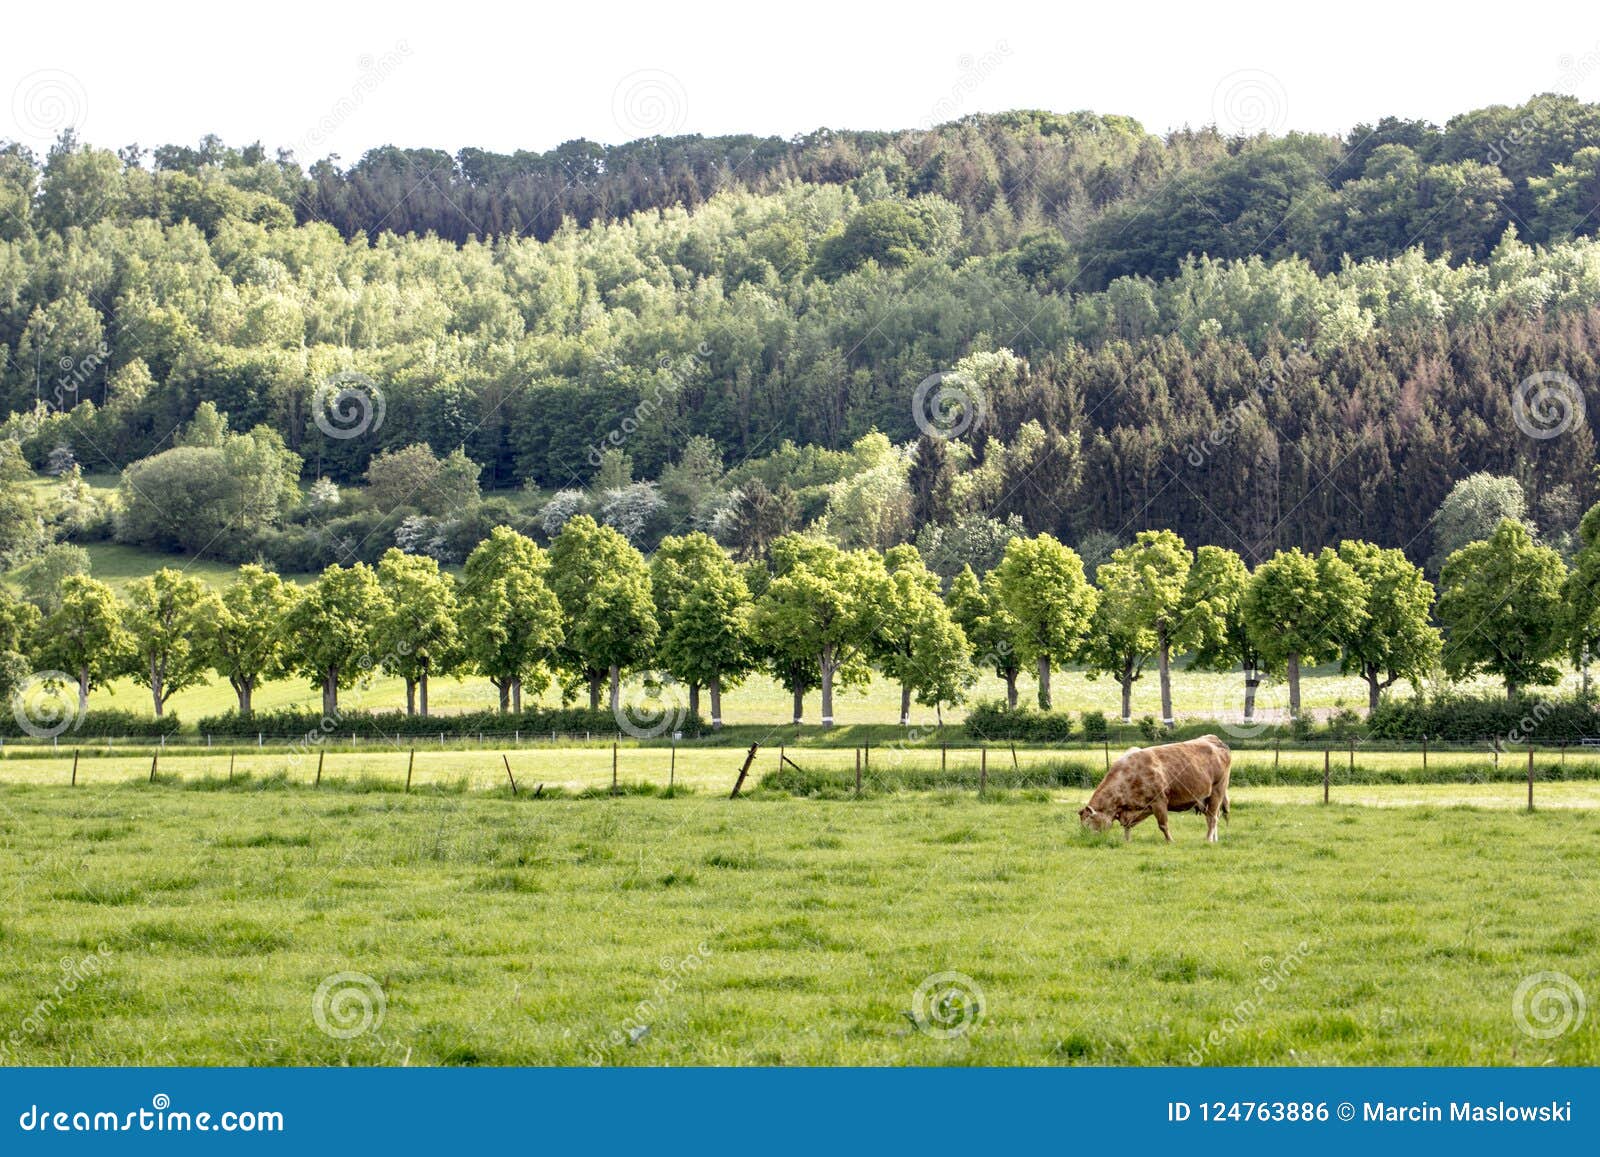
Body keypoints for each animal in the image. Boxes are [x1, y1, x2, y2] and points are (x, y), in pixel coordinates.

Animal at [1078, 735, 1231, 843]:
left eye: (1088, 824)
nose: (1087, 839)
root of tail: (1213, 739)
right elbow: (1127, 826)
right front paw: (1127, 841)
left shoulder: (1159, 801)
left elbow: (1163, 825)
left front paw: (1170, 841)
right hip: (1205, 798)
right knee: (1213, 817)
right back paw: (1214, 839)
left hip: (1217, 790)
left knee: (1212, 818)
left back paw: (1208, 839)